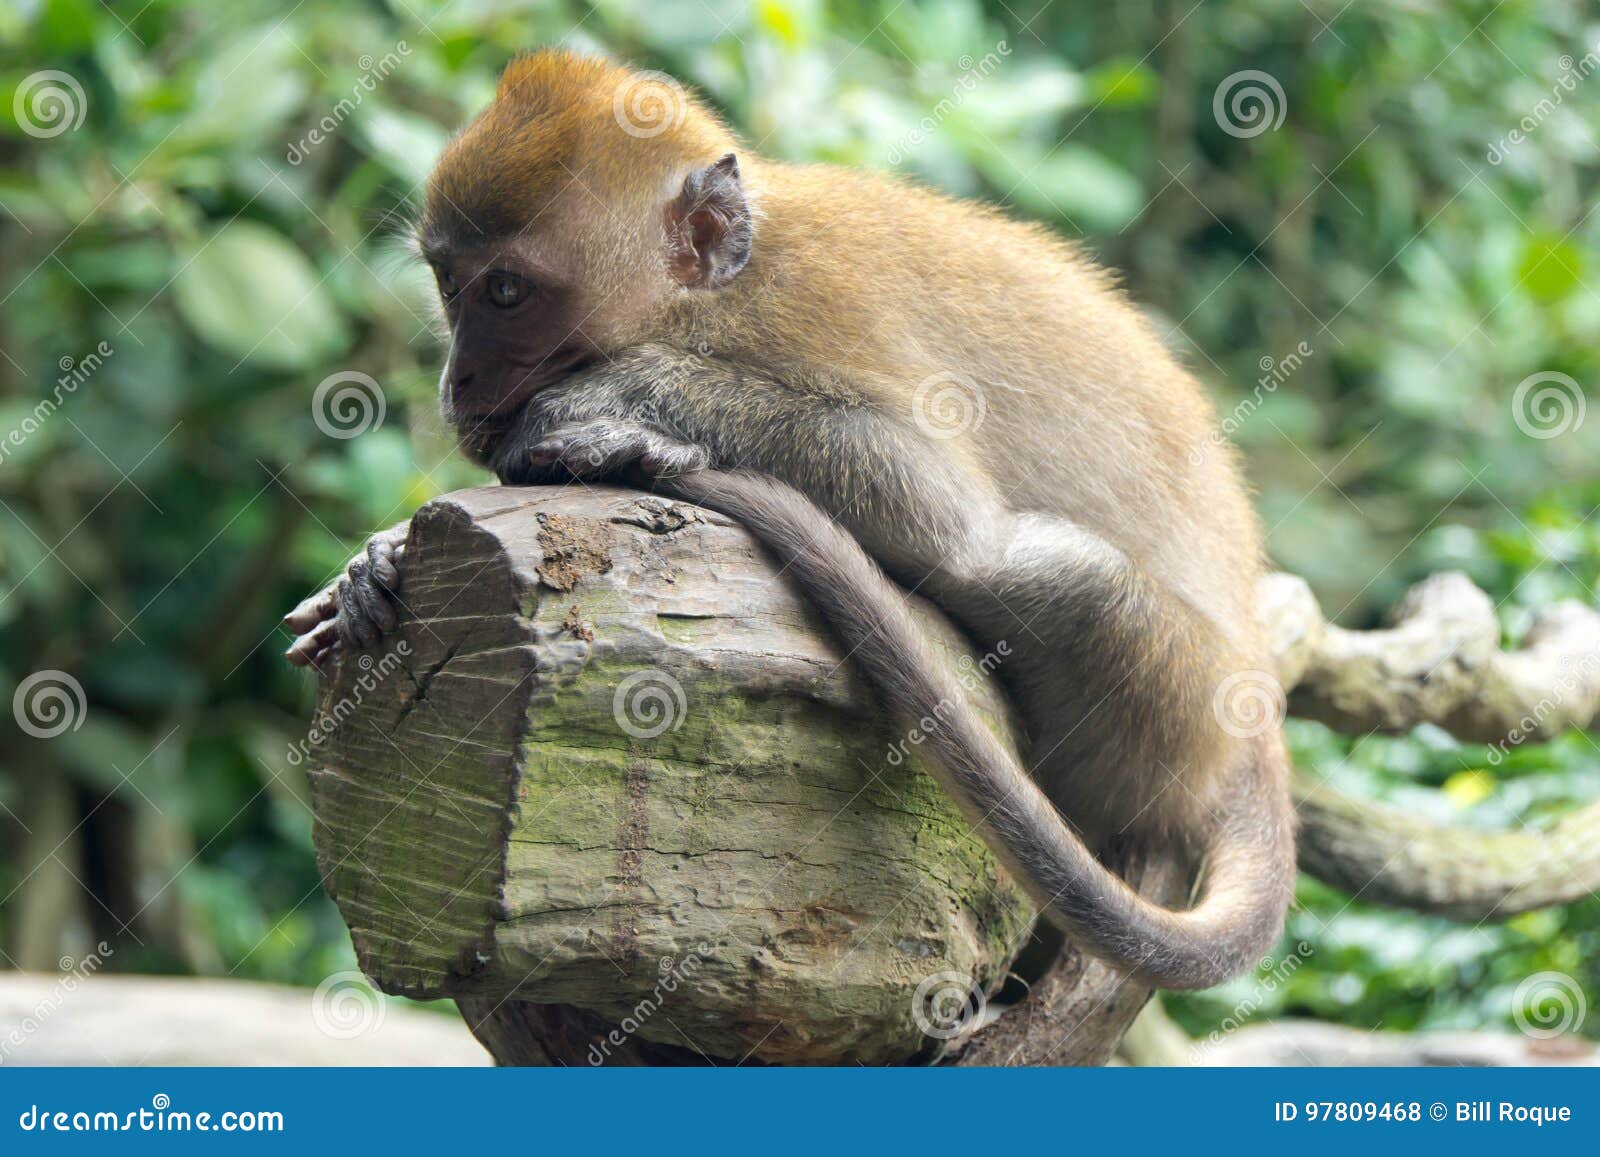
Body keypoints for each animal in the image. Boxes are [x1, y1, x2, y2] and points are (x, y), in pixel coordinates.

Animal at [285, 51, 1295, 990]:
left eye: (505, 292)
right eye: (448, 283)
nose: (458, 379)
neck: (720, 294)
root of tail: (1256, 721)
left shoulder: (822, 309)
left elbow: (944, 515)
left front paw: (621, 405)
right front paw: (372, 566)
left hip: (1179, 713)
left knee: (1032, 568)